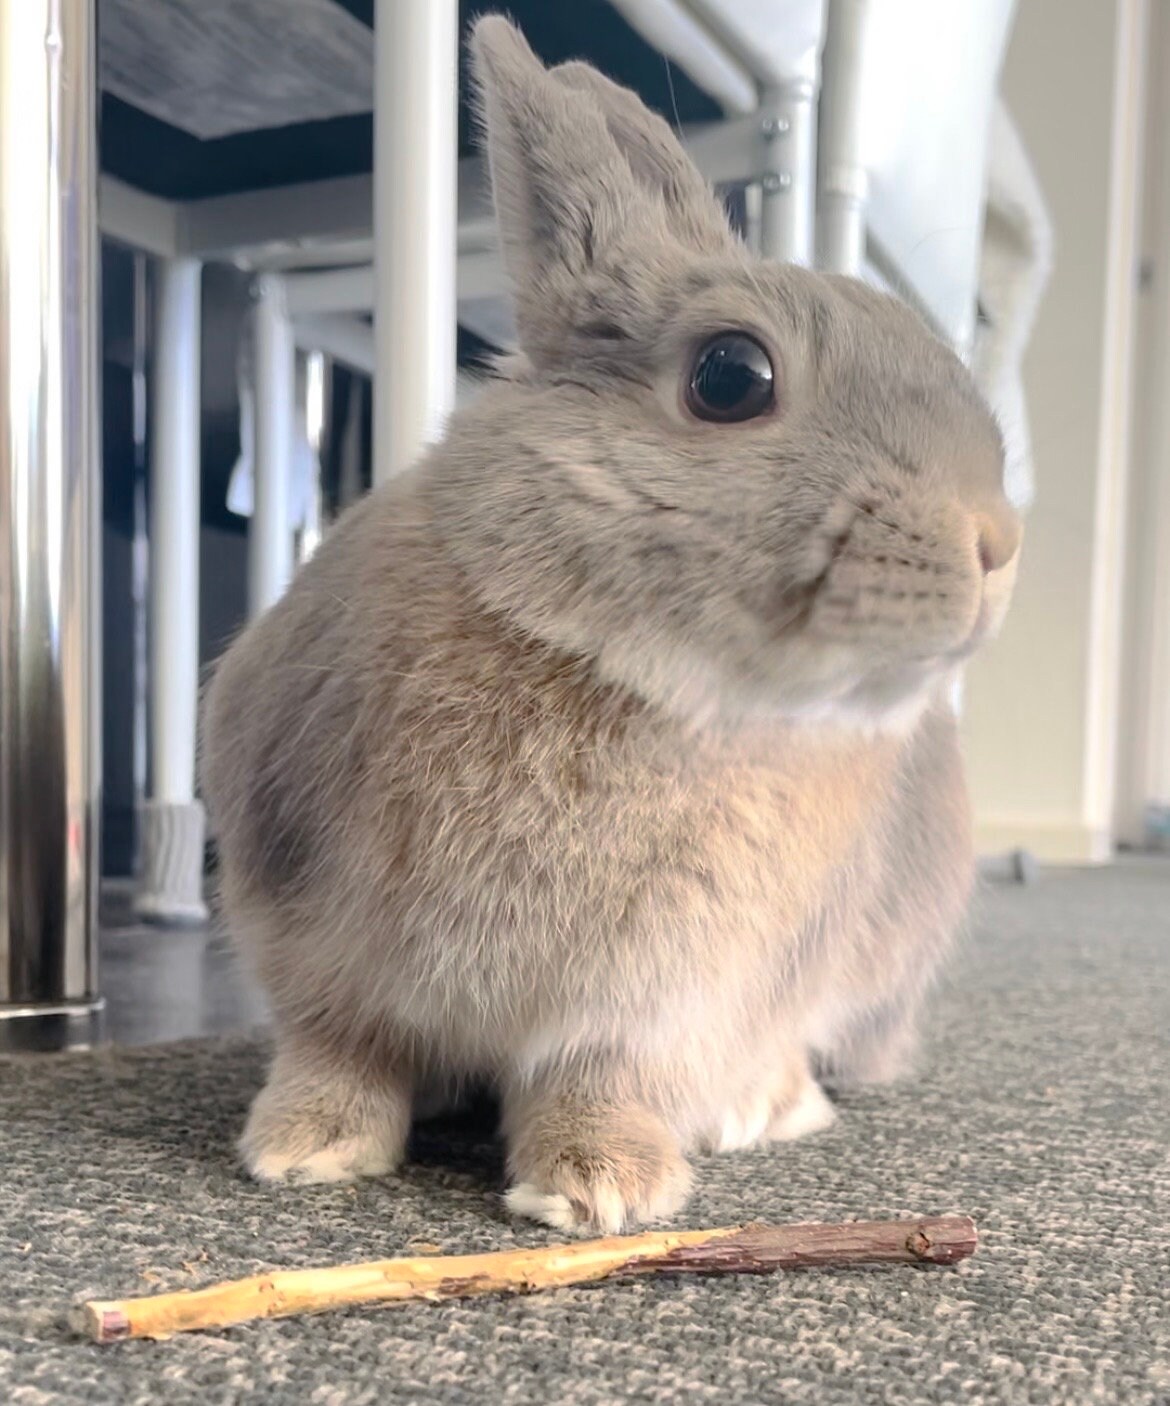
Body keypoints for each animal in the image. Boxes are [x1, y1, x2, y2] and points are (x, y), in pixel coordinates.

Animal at [201, 15, 1022, 1234]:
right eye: (731, 375)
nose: (995, 543)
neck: (635, 674)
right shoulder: (311, 936)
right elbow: (341, 1044)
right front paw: (305, 1148)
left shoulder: (662, 996)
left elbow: (600, 1076)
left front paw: (597, 1190)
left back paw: (766, 1107)